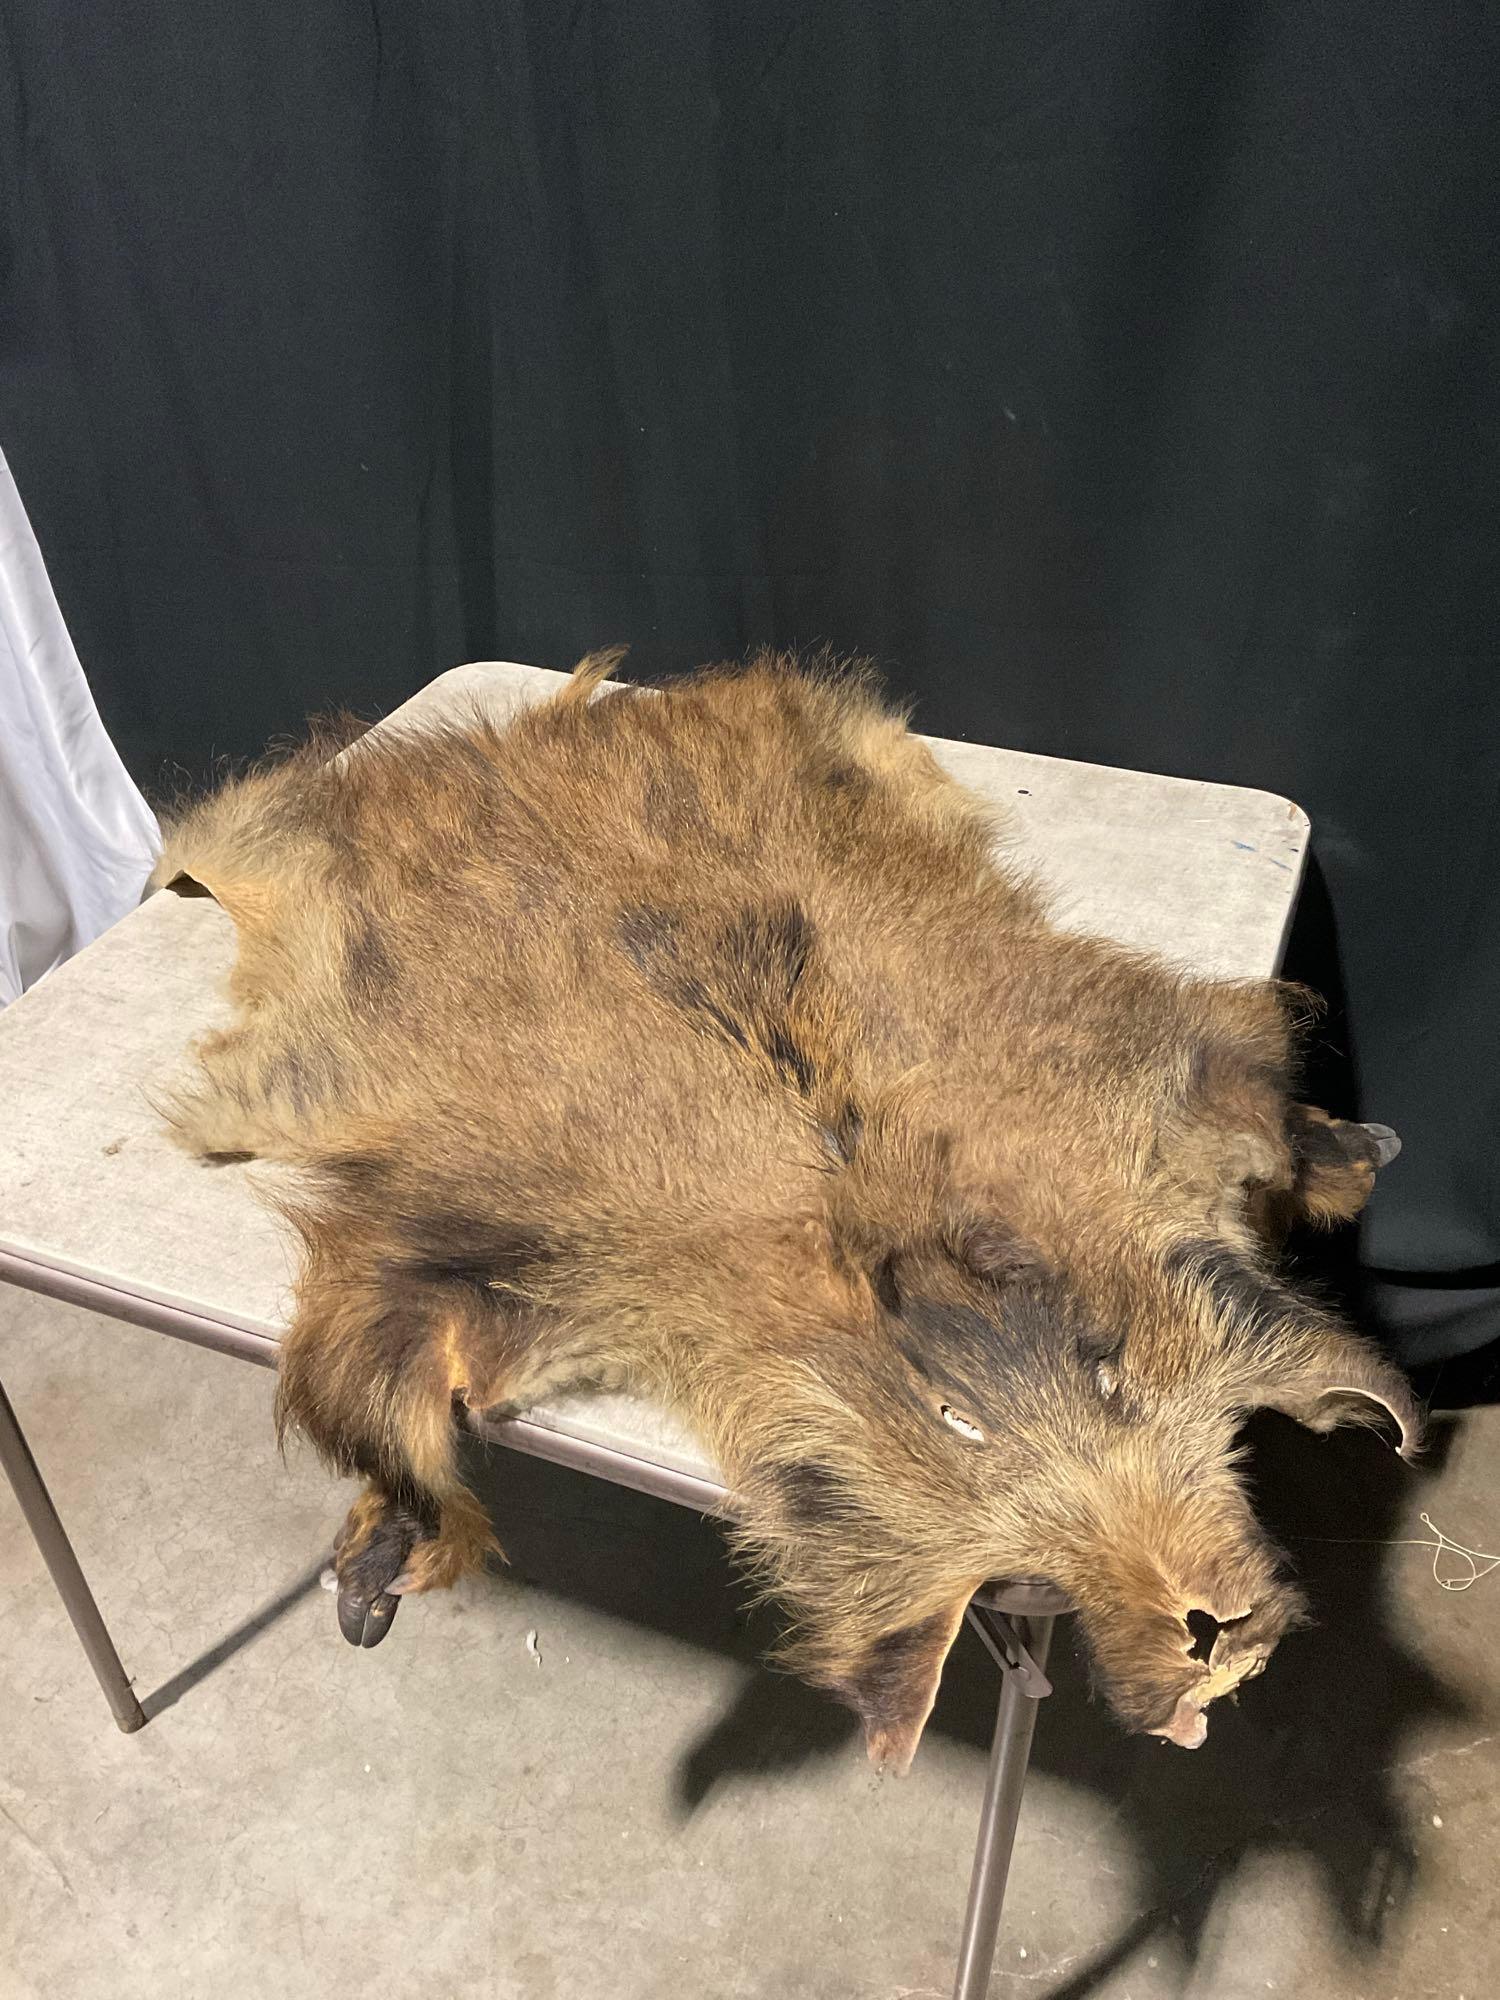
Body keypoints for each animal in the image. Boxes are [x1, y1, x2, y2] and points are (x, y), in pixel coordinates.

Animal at [151, 651, 1418, 1770]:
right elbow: (388, 1411)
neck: (877, 1211)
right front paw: (379, 1564)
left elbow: (1251, 1097)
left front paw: (1346, 1150)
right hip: (273, 876)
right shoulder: (467, 1259)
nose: (1218, 1640)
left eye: (1120, 1384)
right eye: (960, 1431)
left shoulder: (1144, 1083)